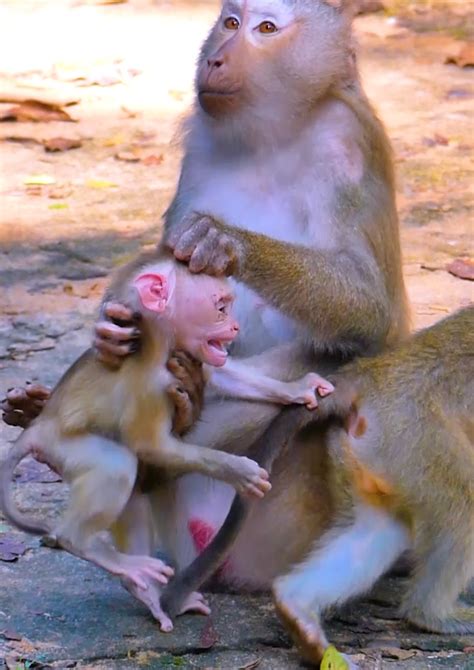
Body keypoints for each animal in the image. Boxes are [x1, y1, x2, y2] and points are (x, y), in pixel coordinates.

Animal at [2, 0, 414, 650]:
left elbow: (371, 314)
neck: (274, 133)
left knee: (317, 363)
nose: (219, 57)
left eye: (266, 29)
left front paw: (227, 243)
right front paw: (110, 329)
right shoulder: (201, 144)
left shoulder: (346, 143)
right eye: (230, 22)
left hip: (294, 517)